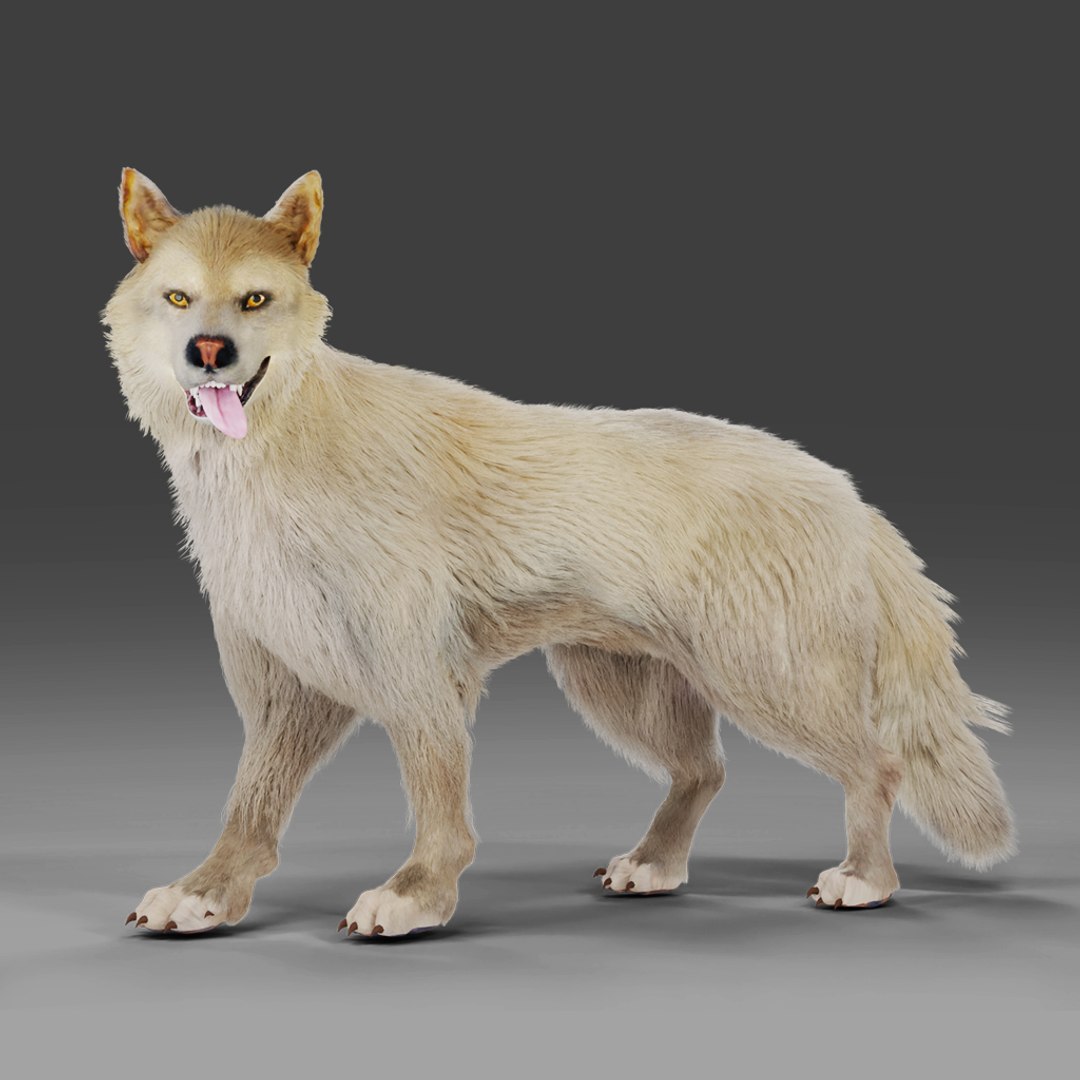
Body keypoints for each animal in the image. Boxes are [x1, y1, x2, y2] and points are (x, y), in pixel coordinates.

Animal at [103, 169, 1015, 937]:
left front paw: (417, 896)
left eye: (255, 298)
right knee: (706, 771)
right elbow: (251, 804)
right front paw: (208, 890)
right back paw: (656, 863)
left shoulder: (417, 678)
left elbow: (438, 804)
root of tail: (849, 497)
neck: (274, 450)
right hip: (621, 685)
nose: (210, 351)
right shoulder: (290, 690)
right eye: (178, 296)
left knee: (878, 764)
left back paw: (865, 879)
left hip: (766, 678)